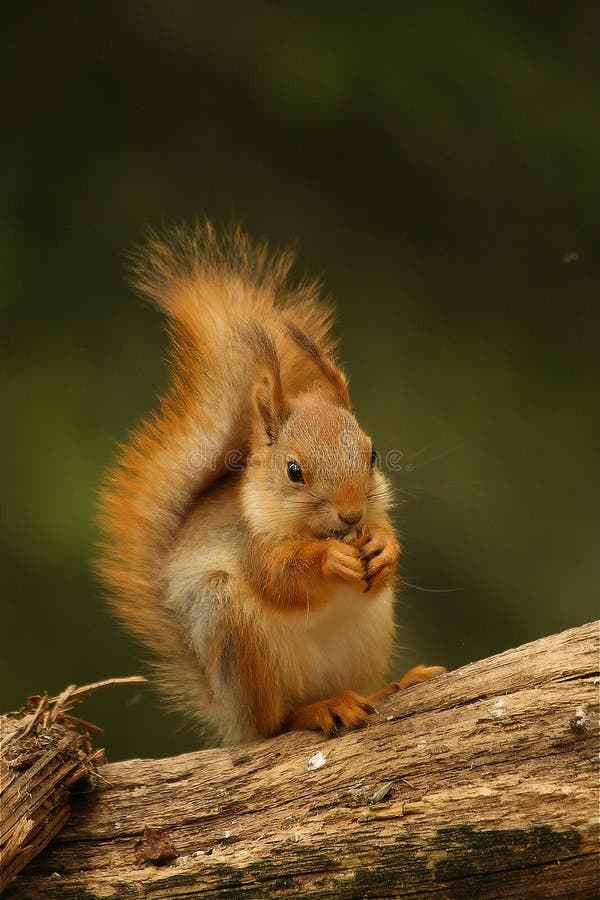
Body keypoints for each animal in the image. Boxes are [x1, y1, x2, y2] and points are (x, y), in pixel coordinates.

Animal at [98, 222, 443, 745]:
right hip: (235, 634)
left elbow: (384, 543)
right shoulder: (249, 544)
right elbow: (280, 579)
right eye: (293, 471)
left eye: (373, 453)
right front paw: (331, 559)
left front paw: (383, 548)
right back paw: (321, 709)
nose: (351, 516)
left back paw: (392, 686)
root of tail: (229, 713)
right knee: (274, 725)